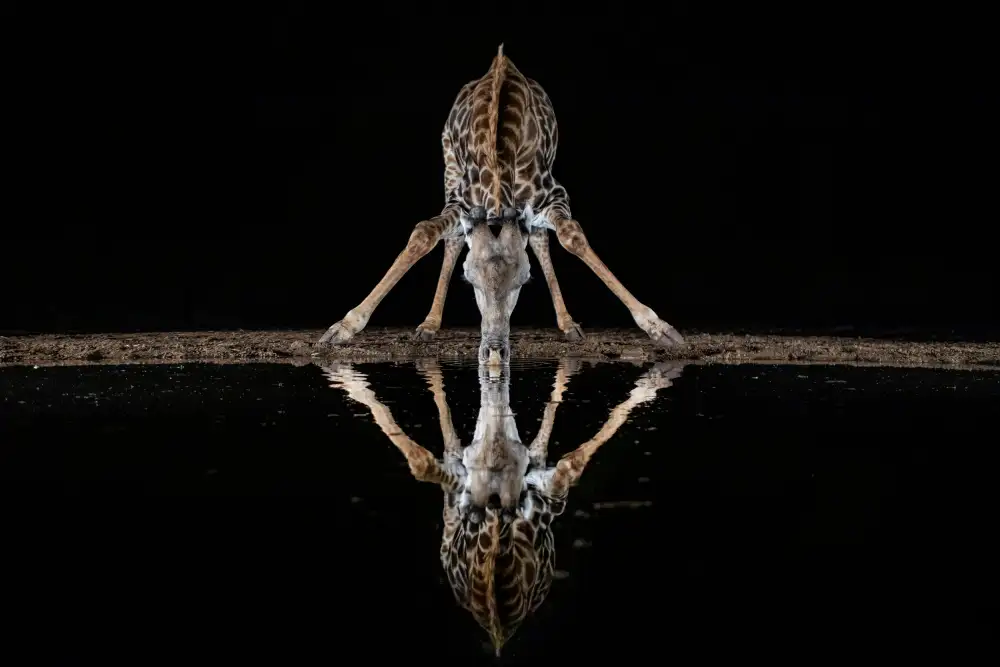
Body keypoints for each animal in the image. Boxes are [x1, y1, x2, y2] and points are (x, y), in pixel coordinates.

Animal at [317, 44, 686, 363]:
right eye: (469, 279)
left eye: (523, 280)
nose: (494, 352)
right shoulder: (461, 201)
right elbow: (423, 235)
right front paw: (343, 327)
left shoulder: (554, 194)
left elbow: (572, 238)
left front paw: (658, 326)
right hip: (449, 166)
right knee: (453, 240)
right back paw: (430, 325)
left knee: (540, 239)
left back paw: (567, 323)